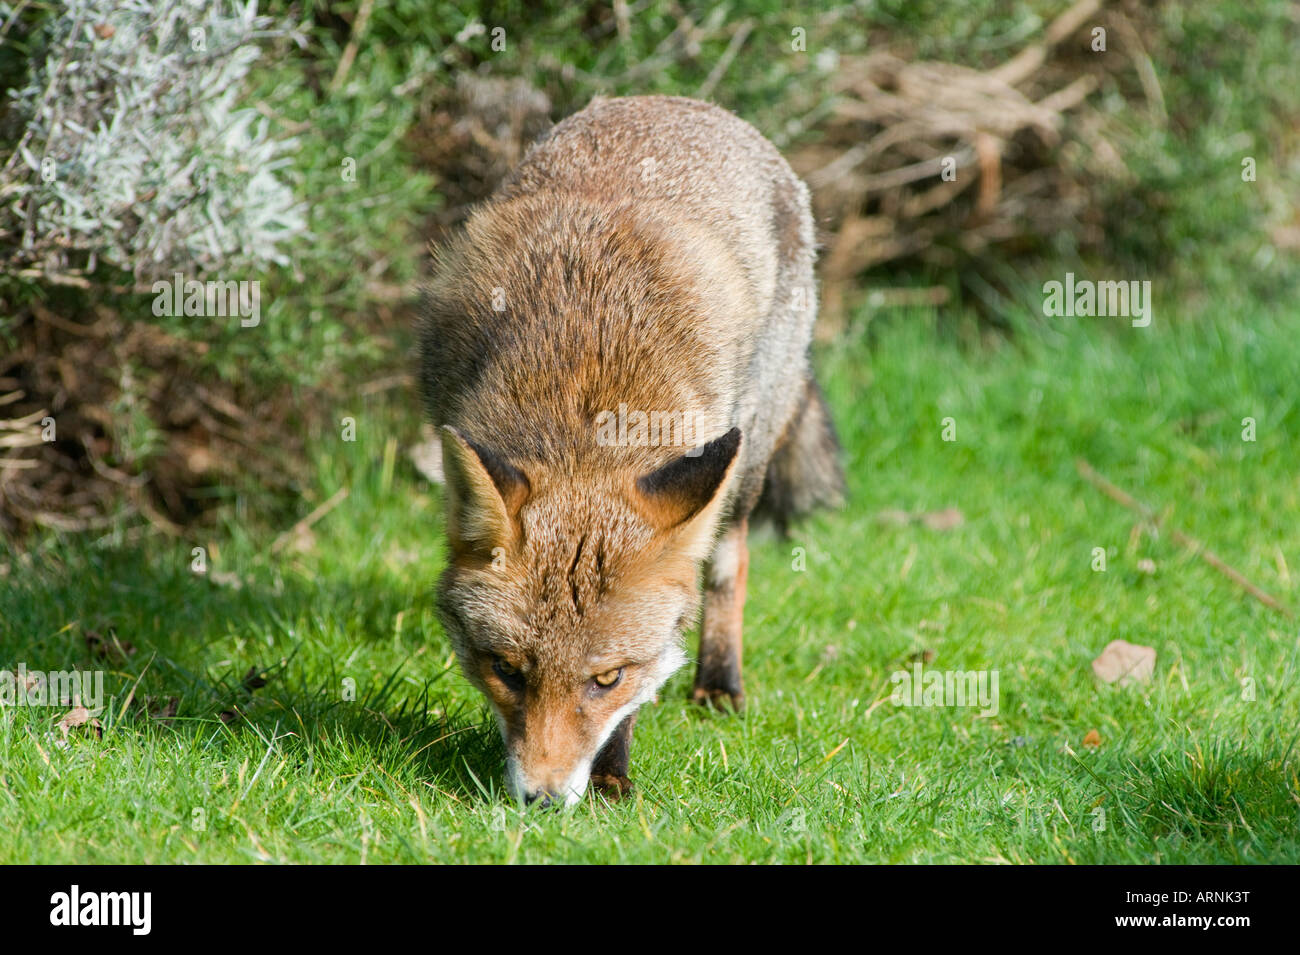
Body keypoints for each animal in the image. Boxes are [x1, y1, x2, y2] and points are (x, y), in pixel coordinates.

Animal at [418, 95, 843, 807]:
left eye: (608, 678)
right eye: (507, 669)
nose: (542, 799)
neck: (583, 391)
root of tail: (683, 103)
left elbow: (653, 668)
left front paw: (611, 772)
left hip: (745, 454)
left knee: (727, 567)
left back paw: (719, 683)